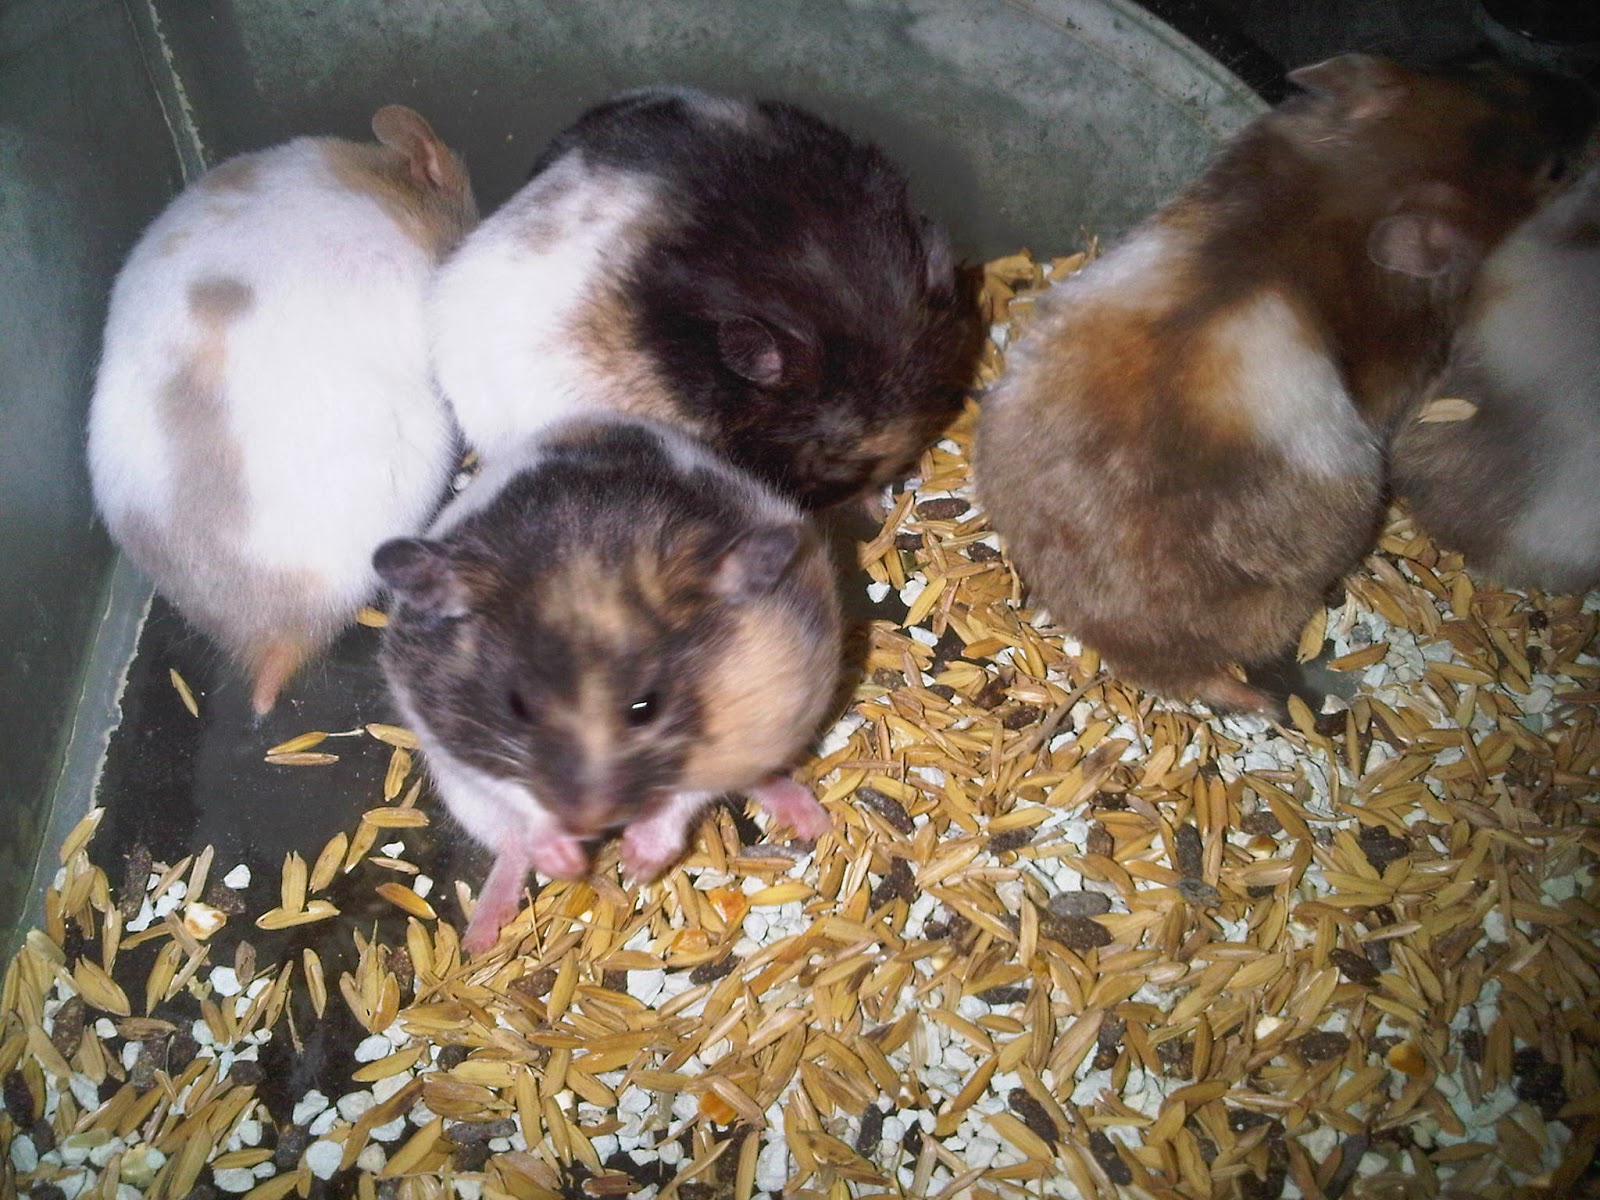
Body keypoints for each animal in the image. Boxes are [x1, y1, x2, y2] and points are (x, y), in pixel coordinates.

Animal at [373, 413, 842, 953]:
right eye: (517, 706)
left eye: (647, 707)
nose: (588, 826)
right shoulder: (456, 741)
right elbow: (522, 802)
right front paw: (568, 861)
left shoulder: (760, 705)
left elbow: (685, 796)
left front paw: (638, 863)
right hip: (460, 792)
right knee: (509, 846)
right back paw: (480, 937)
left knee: (754, 778)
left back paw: (814, 820)